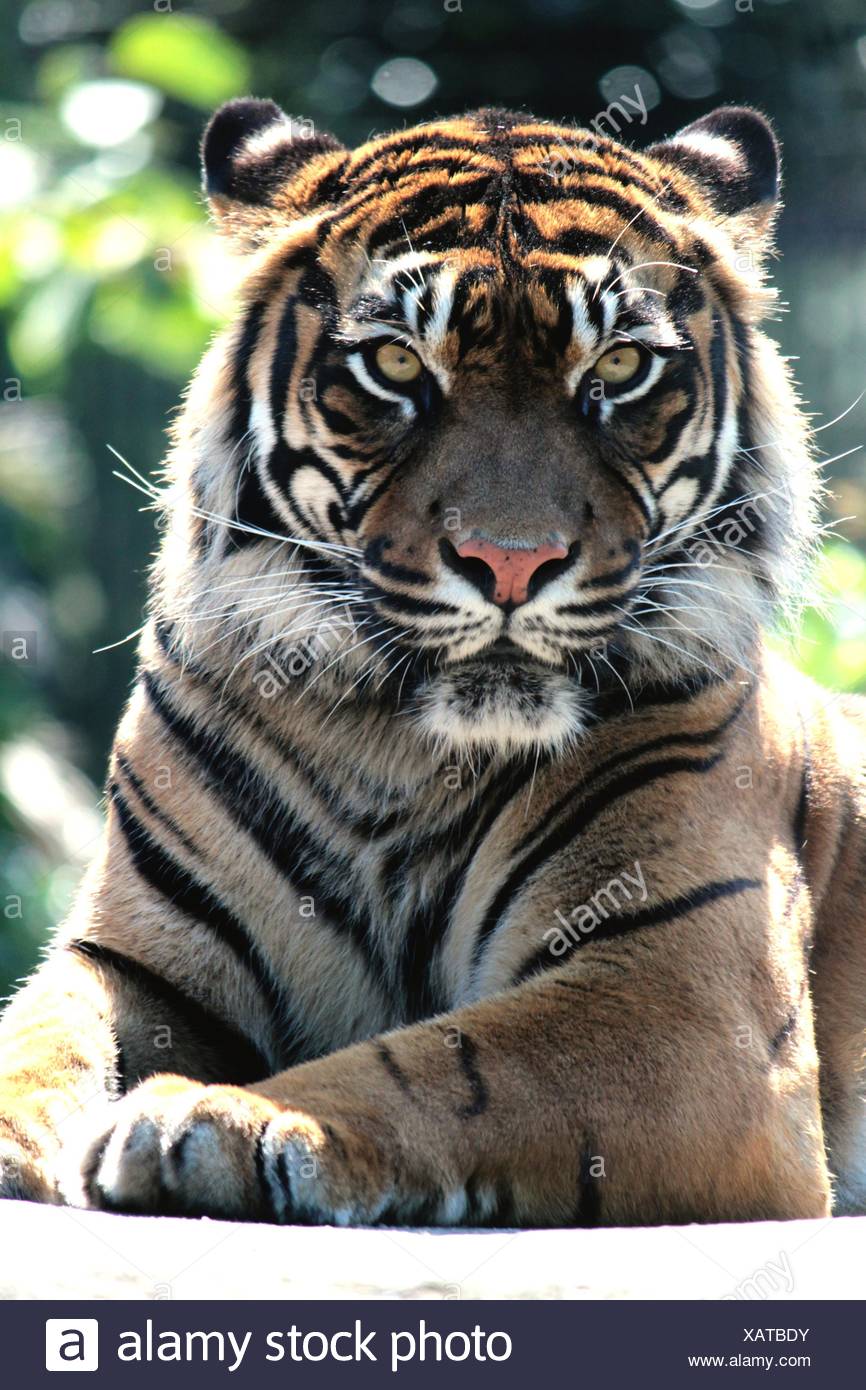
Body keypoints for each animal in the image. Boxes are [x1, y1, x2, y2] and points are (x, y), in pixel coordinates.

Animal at [1, 98, 864, 1231]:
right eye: (399, 367)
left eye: (617, 370)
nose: (512, 561)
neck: (399, 747)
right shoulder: (136, 958)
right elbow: (39, 1035)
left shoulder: (683, 998)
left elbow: (451, 1063)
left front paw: (217, 1116)